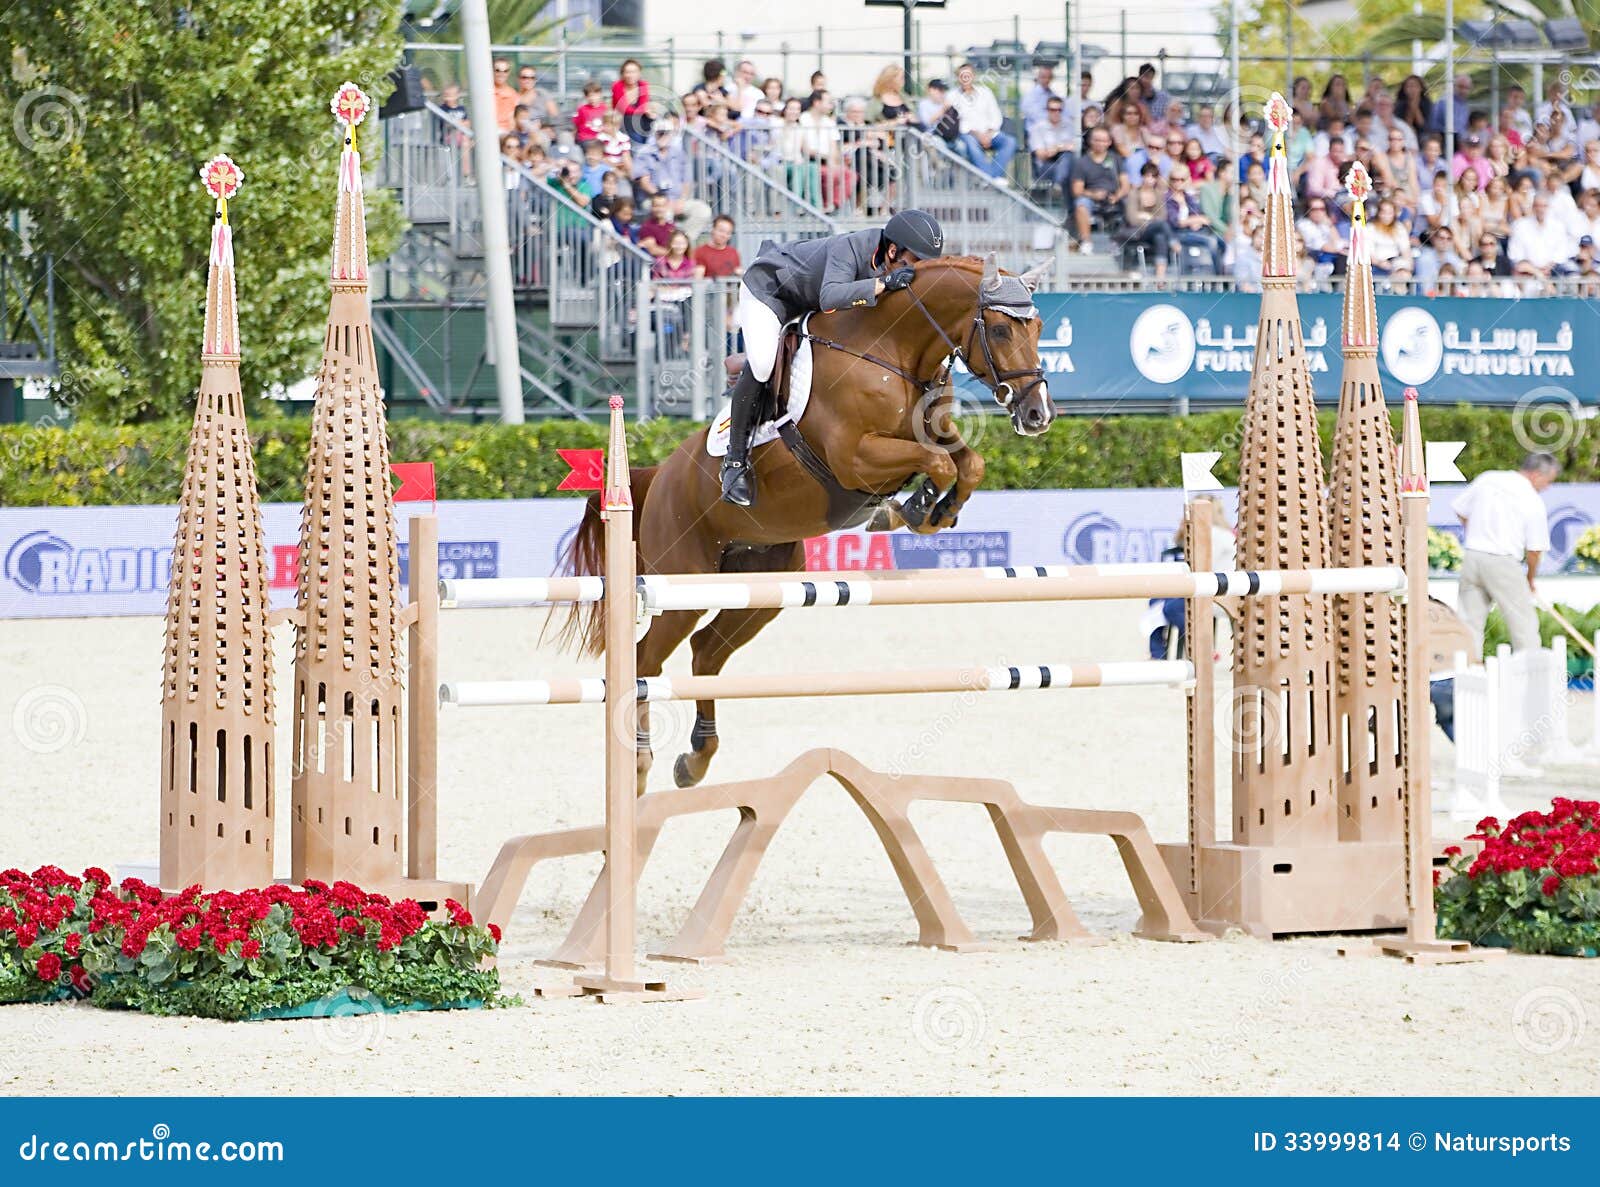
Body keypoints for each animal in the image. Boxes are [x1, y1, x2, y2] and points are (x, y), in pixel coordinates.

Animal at [559, 252, 1056, 793]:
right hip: (685, 582)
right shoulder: (855, 458)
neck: (895, 353)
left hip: (763, 586)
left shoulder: (934, 431)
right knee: (648, 659)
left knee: (706, 652)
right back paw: (640, 763)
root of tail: (657, 476)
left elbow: (968, 463)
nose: (1038, 415)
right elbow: (938, 464)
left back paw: (696, 759)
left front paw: (935, 512)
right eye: (1002, 330)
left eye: (1039, 328)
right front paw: (912, 509)